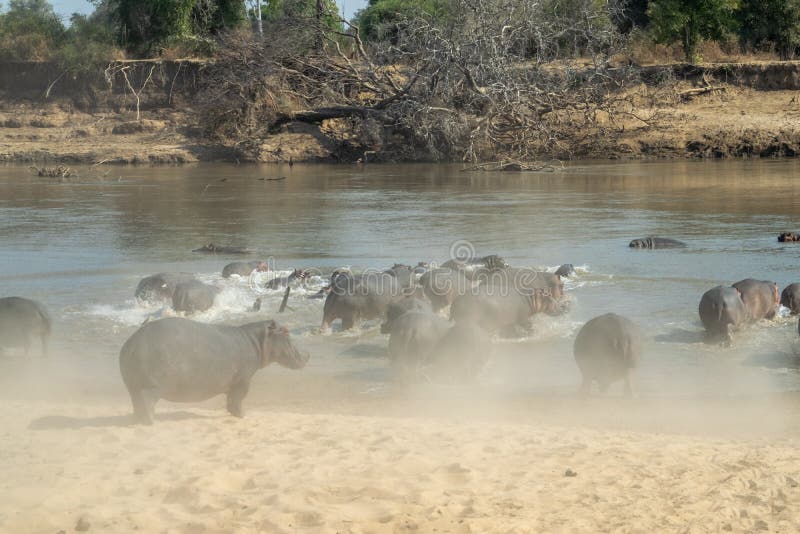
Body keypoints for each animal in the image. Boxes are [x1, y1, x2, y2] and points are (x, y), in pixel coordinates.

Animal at [119, 317, 309, 424]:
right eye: (286, 331)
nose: (307, 355)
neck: (257, 340)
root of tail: (133, 342)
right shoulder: (243, 380)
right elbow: (238, 398)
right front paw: (242, 416)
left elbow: (231, 400)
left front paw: (236, 414)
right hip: (153, 386)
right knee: (146, 400)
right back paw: (151, 422)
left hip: (132, 385)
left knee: (137, 402)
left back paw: (138, 420)